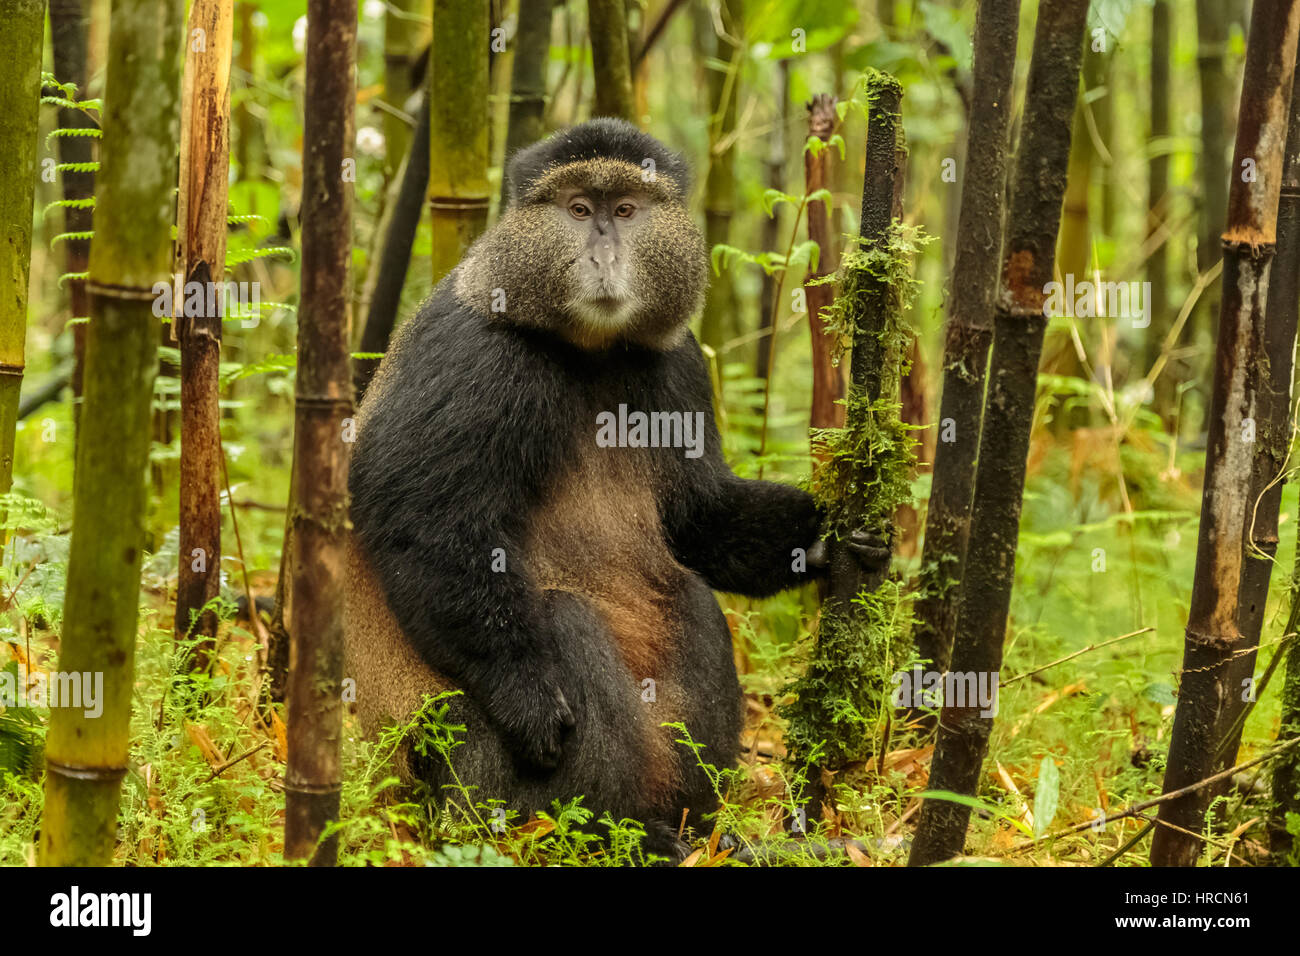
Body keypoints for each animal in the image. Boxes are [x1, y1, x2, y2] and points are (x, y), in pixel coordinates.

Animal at [344, 118, 887, 860]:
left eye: (626, 211)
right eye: (578, 210)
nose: (603, 252)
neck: (592, 352)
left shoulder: (680, 362)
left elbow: (696, 519)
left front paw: (832, 539)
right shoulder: (472, 354)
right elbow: (419, 518)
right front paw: (526, 697)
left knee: (689, 597)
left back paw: (704, 831)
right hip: (461, 775)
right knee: (561, 619)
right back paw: (613, 833)